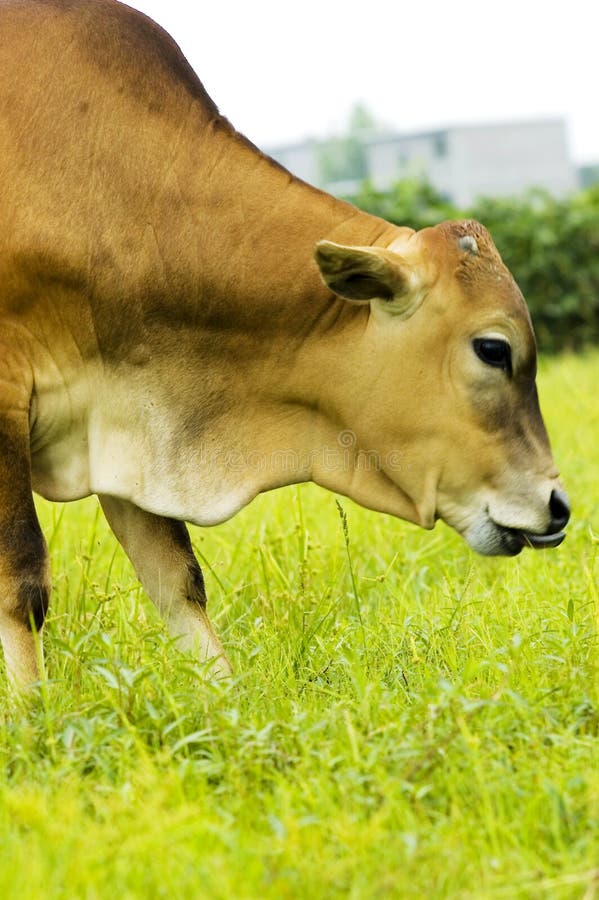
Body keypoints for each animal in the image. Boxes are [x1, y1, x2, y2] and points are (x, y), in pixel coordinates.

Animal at [0, 0, 569, 690]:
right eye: (493, 349)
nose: (558, 506)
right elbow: (23, 582)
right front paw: (33, 712)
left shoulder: (122, 422)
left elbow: (176, 580)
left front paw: (227, 703)